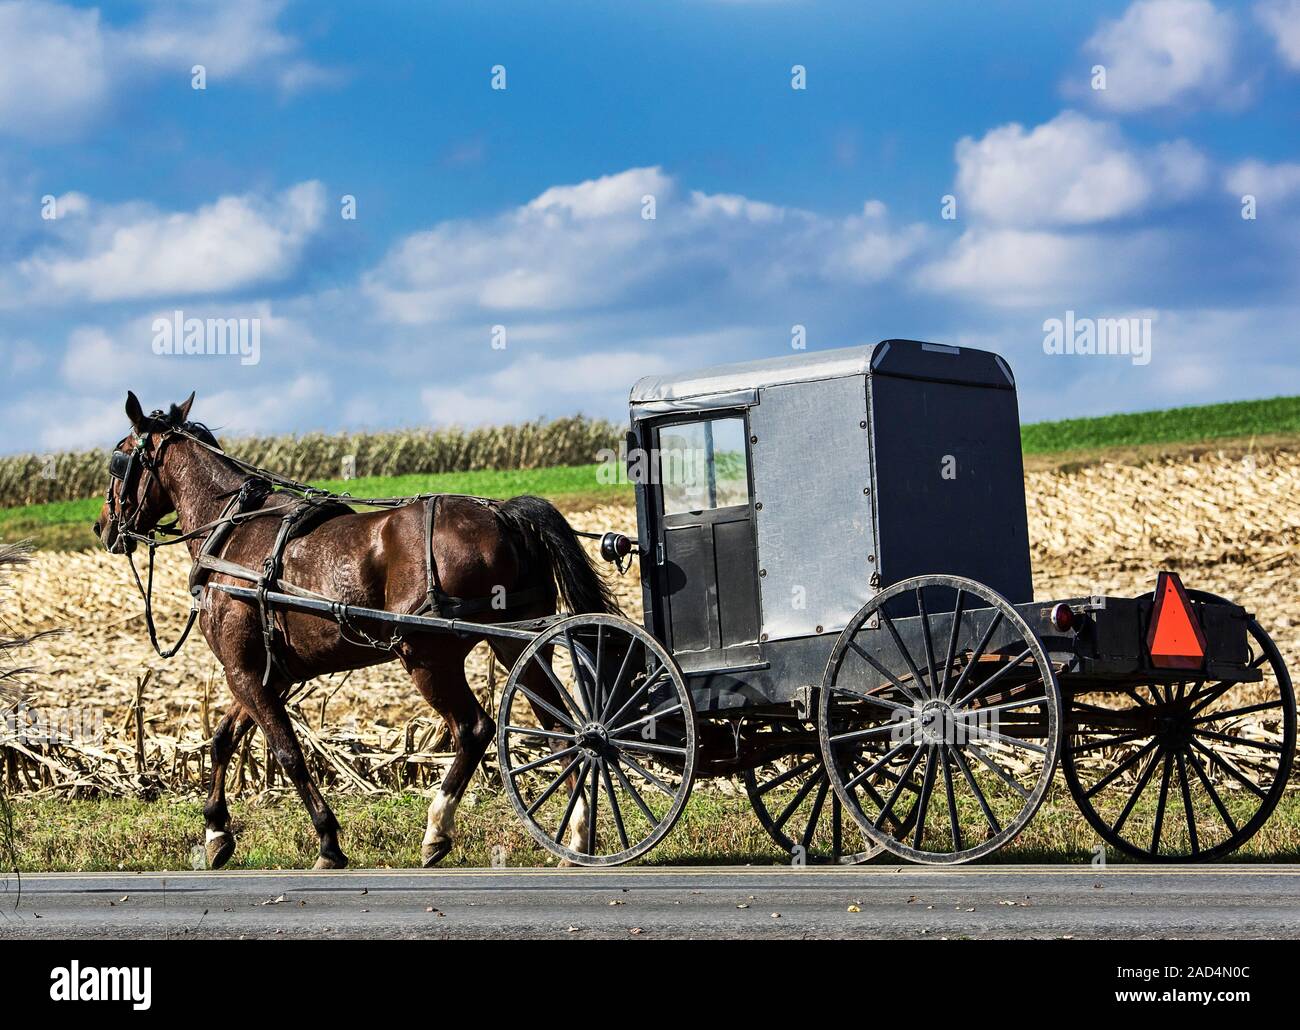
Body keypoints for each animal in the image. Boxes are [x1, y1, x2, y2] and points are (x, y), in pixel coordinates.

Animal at [94, 391, 619, 870]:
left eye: (119, 458)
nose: (103, 527)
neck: (231, 534)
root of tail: (503, 515)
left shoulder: (243, 671)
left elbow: (287, 752)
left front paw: (328, 842)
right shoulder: (265, 675)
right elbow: (223, 738)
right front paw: (216, 833)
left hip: (428, 655)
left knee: (474, 728)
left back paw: (436, 831)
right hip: (516, 645)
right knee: (561, 729)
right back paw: (576, 837)